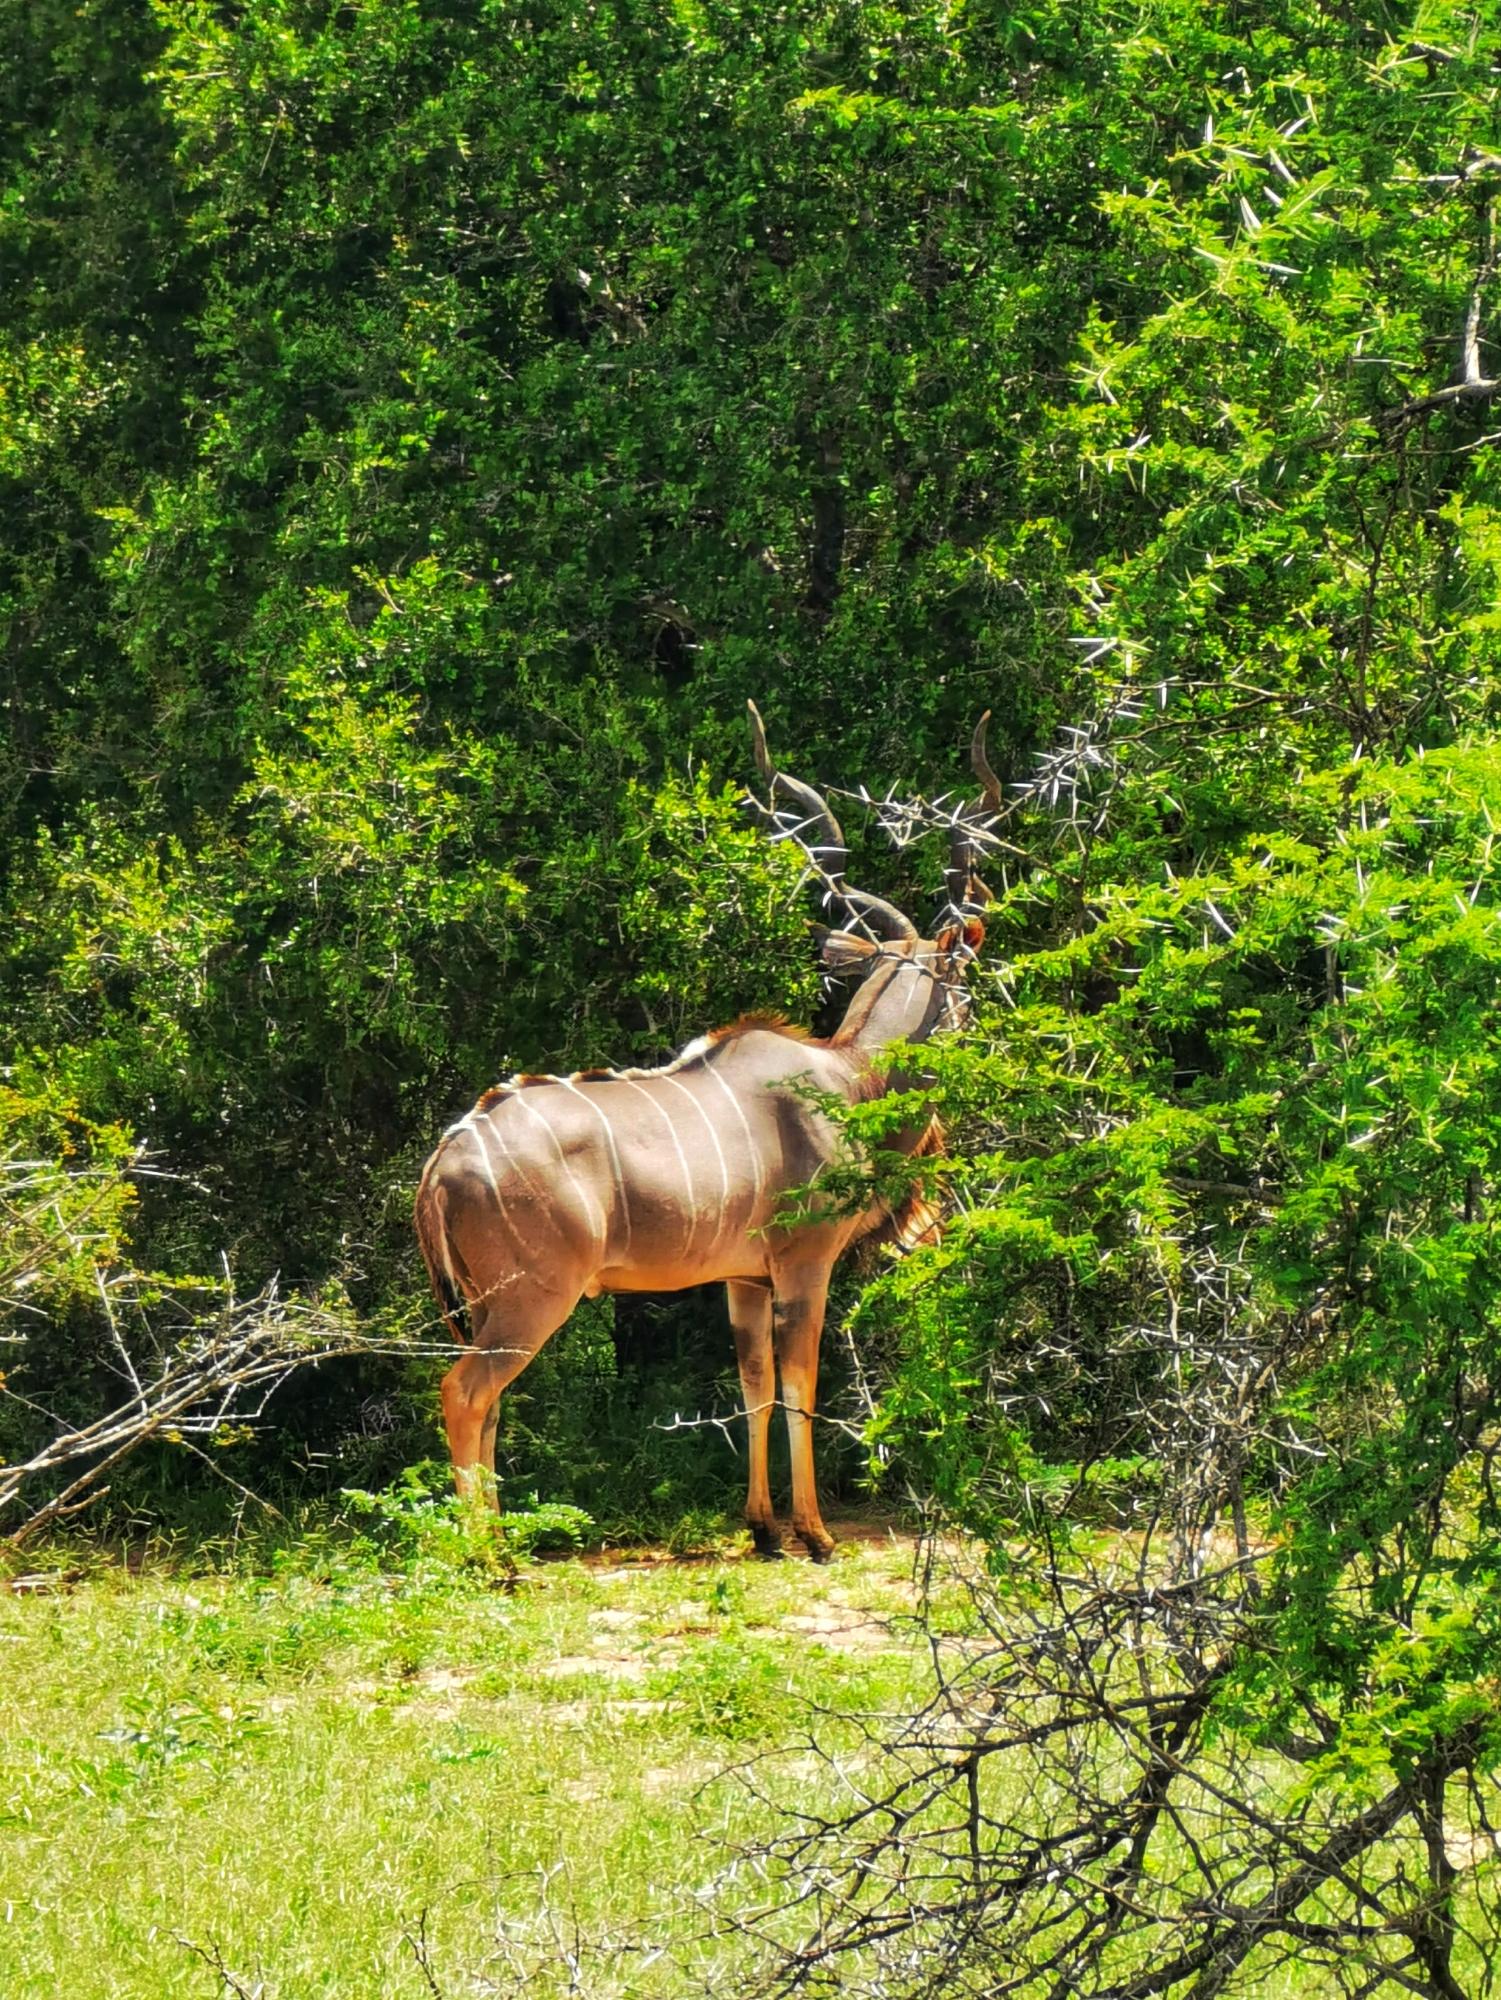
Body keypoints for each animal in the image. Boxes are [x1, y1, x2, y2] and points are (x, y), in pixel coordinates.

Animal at [418, 704, 992, 1560]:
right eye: (967, 984)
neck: (851, 1078)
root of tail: (445, 1157)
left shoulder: (742, 1279)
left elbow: (753, 1384)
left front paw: (761, 1528)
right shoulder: (802, 1264)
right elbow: (800, 1383)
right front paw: (813, 1533)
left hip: (489, 1307)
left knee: (485, 1402)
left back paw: (502, 1547)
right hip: (535, 1297)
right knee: (465, 1391)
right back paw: (488, 1559)